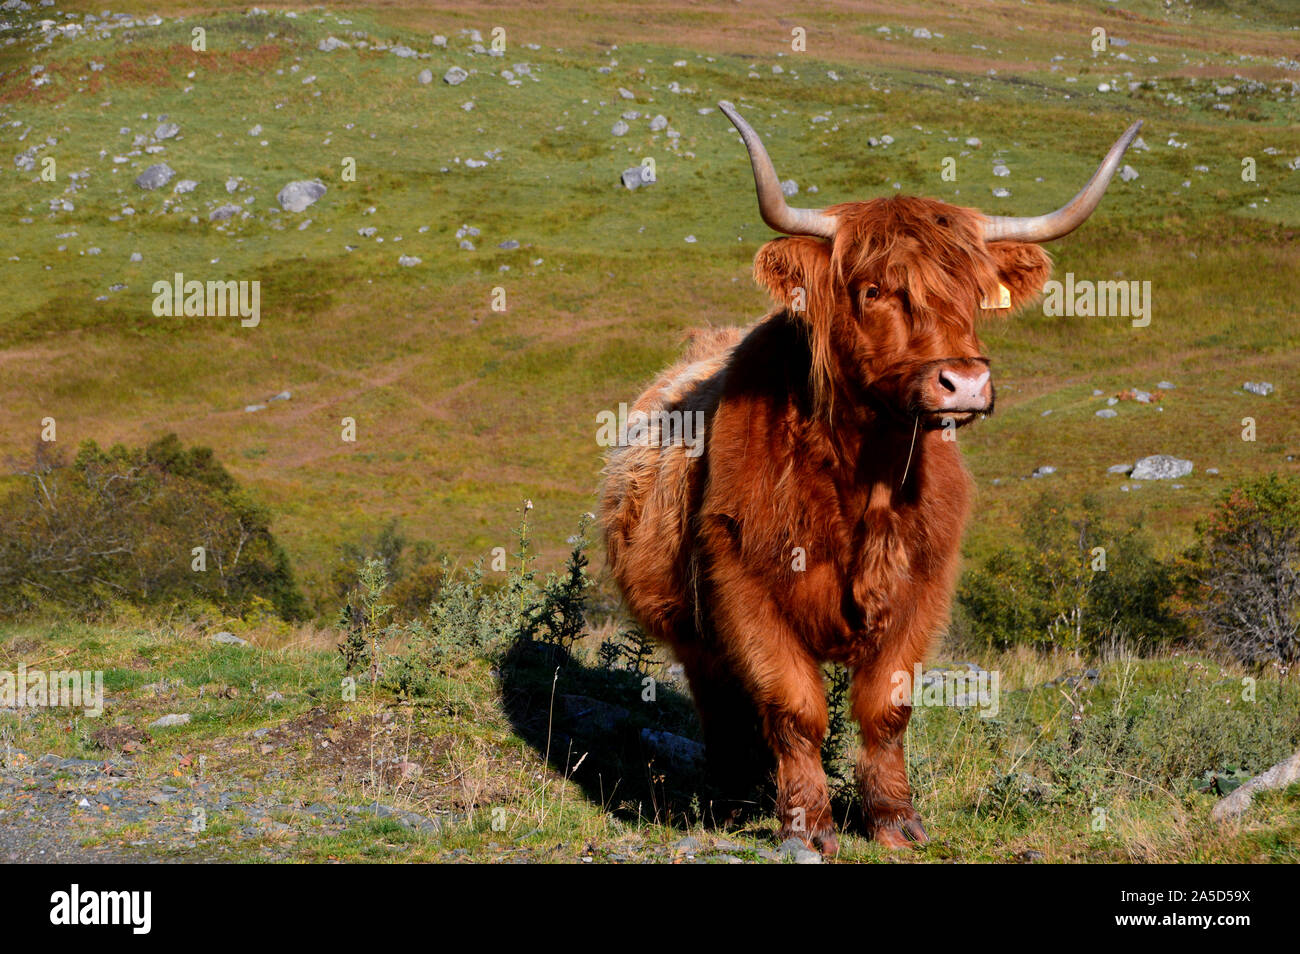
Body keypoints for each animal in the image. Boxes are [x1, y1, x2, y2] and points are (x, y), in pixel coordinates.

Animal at [600, 101, 1141, 854]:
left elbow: (888, 708)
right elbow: (793, 708)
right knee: (721, 703)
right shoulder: (744, 584)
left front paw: (895, 821)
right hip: (688, 626)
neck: (867, 477)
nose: (965, 381)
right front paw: (806, 827)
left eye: (974, 292)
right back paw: (732, 798)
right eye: (874, 289)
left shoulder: (923, 587)